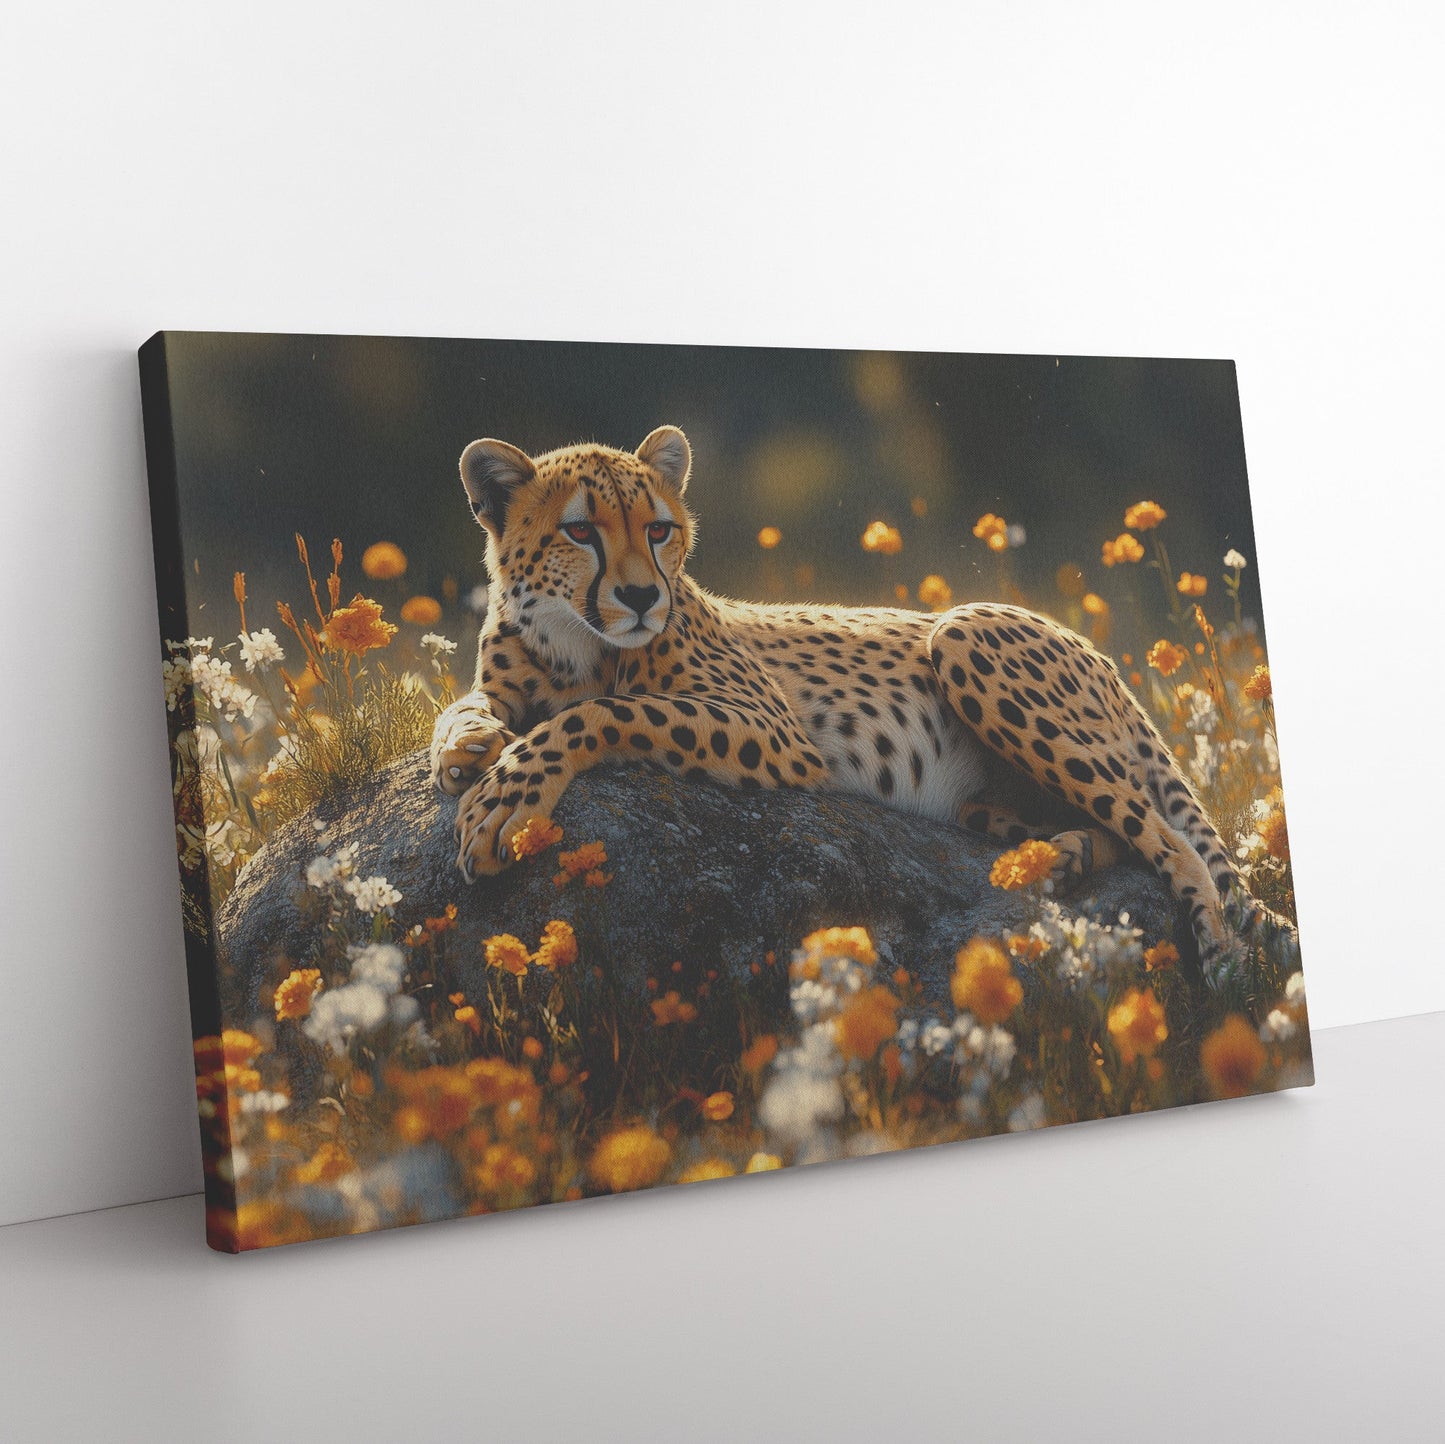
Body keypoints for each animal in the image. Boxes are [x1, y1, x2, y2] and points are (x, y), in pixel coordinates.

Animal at [430, 424, 1290, 966]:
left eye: (658, 529)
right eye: (580, 532)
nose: (643, 598)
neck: (570, 644)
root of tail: (1102, 655)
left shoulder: (776, 735)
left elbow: (604, 714)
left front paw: (501, 804)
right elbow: (462, 707)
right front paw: (465, 746)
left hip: (963, 635)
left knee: (1171, 840)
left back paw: (1213, 946)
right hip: (985, 787)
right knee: (1113, 826)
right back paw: (1062, 854)